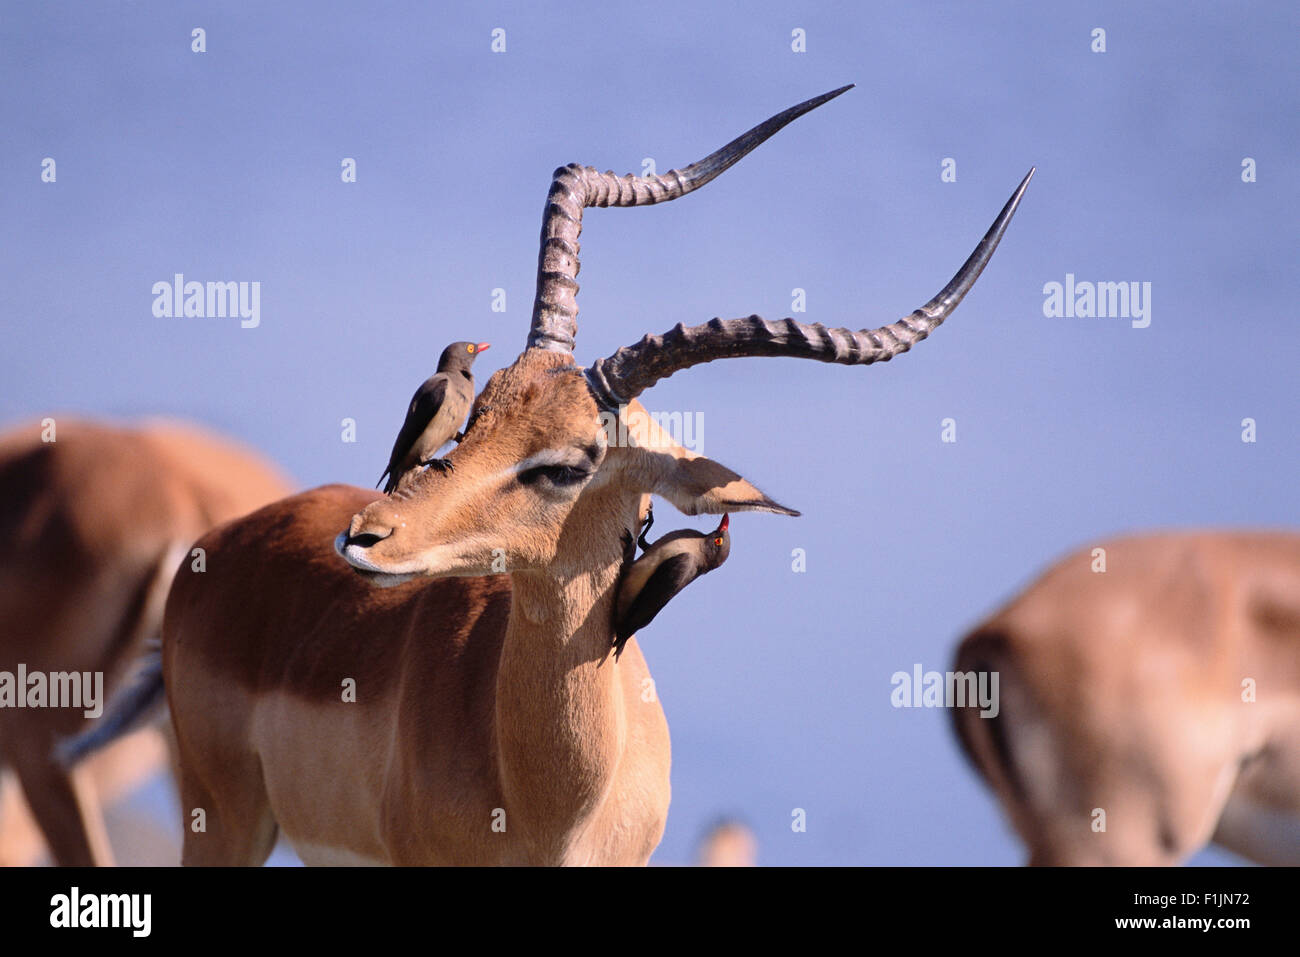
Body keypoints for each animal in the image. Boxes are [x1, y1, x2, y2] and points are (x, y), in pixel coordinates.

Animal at [93, 86, 1030, 865]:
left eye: (569, 463)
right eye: (478, 412)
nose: (366, 536)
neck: (552, 805)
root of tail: (219, 542)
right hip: (222, 821)